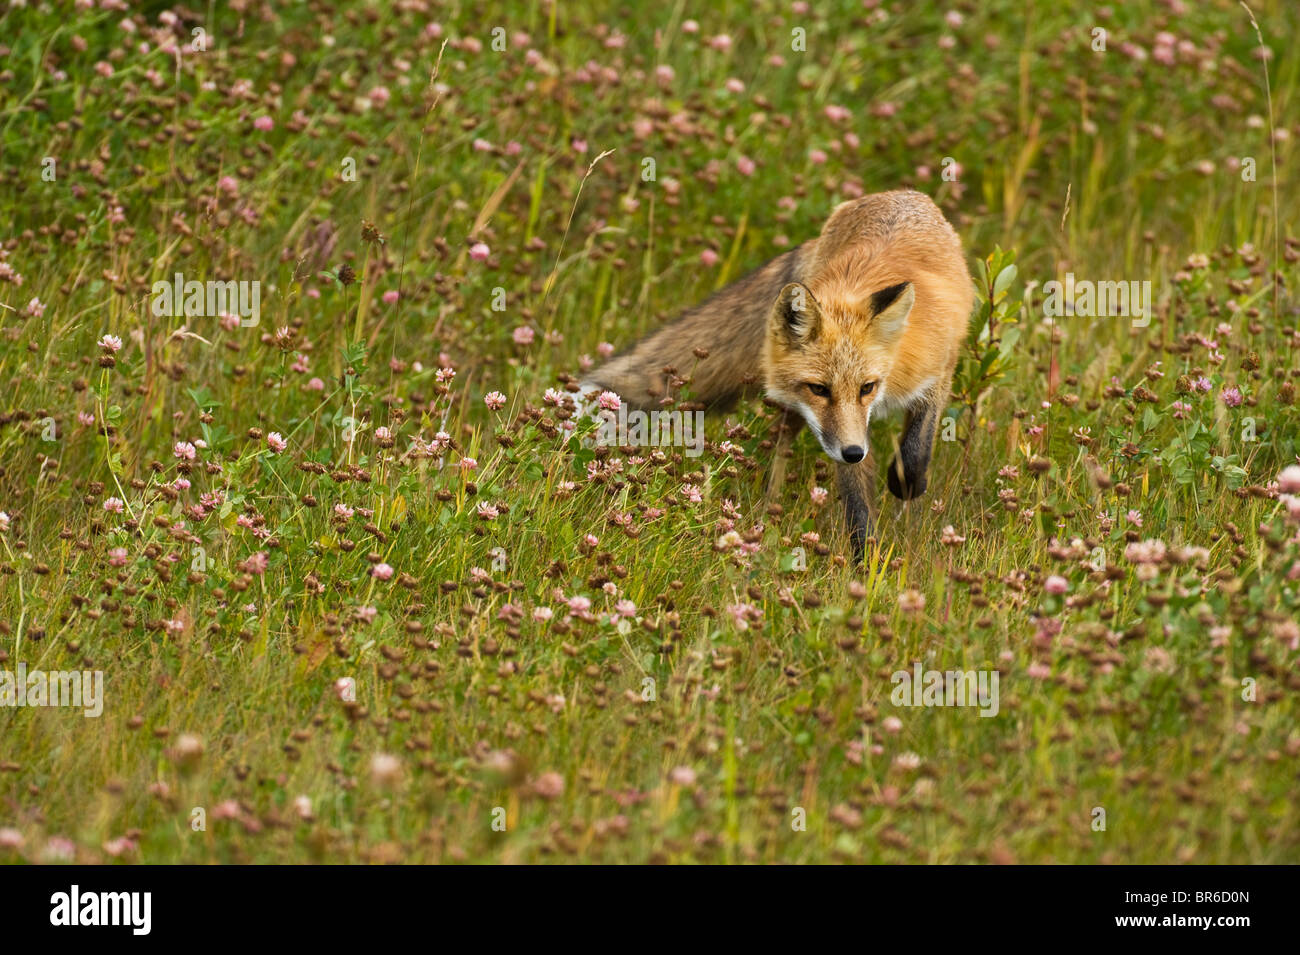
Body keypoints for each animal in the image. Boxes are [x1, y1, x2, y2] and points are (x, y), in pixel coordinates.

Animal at [578, 189, 975, 556]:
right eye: (819, 389)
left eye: (867, 387)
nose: (852, 453)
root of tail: (891, 194)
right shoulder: (844, 431)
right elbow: (857, 502)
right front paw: (865, 563)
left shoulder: (938, 372)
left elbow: (915, 449)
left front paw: (906, 485)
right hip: (798, 414)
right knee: (779, 446)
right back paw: (768, 512)